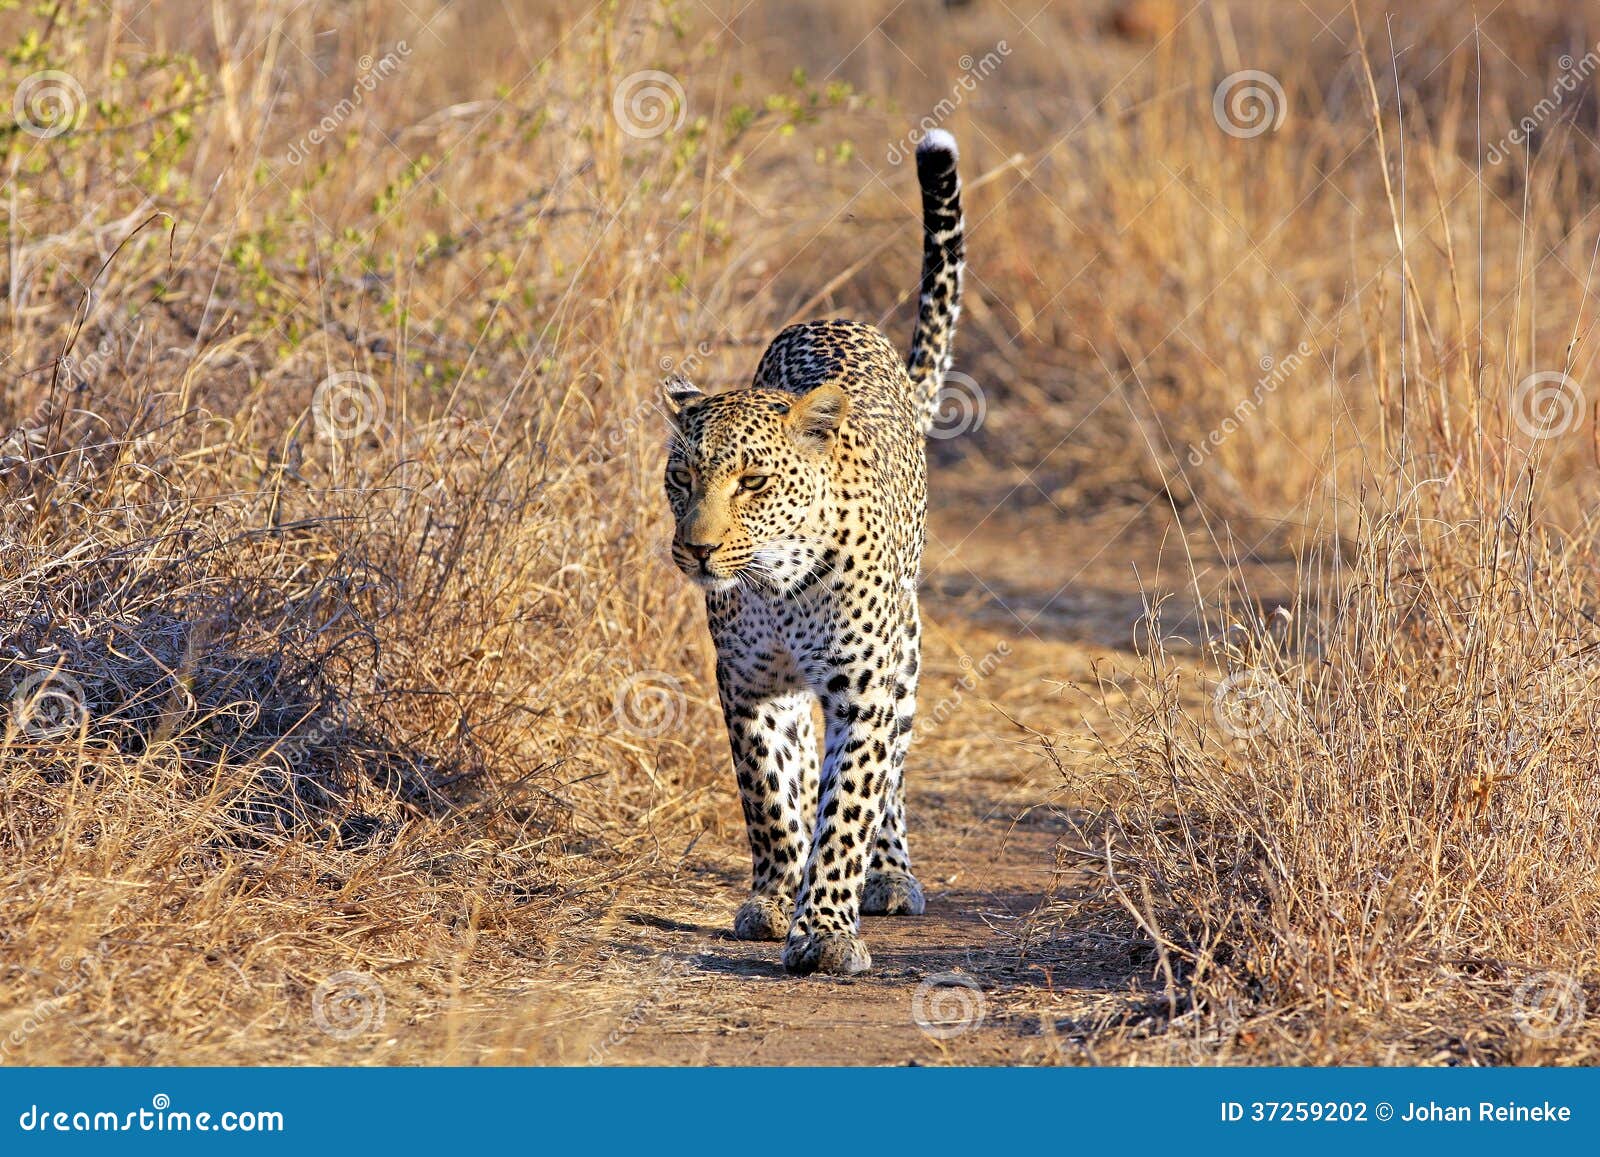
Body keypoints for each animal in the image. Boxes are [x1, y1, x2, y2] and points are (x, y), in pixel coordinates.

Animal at [660, 129, 965, 975]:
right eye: (682, 475)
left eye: (753, 481)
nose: (696, 549)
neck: (778, 582)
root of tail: (841, 320)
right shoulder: (748, 684)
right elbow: (767, 793)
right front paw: (776, 894)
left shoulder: (862, 687)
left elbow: (850, 803)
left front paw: (826, 927)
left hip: (906, 651)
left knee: (891, 775)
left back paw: (888, 872)